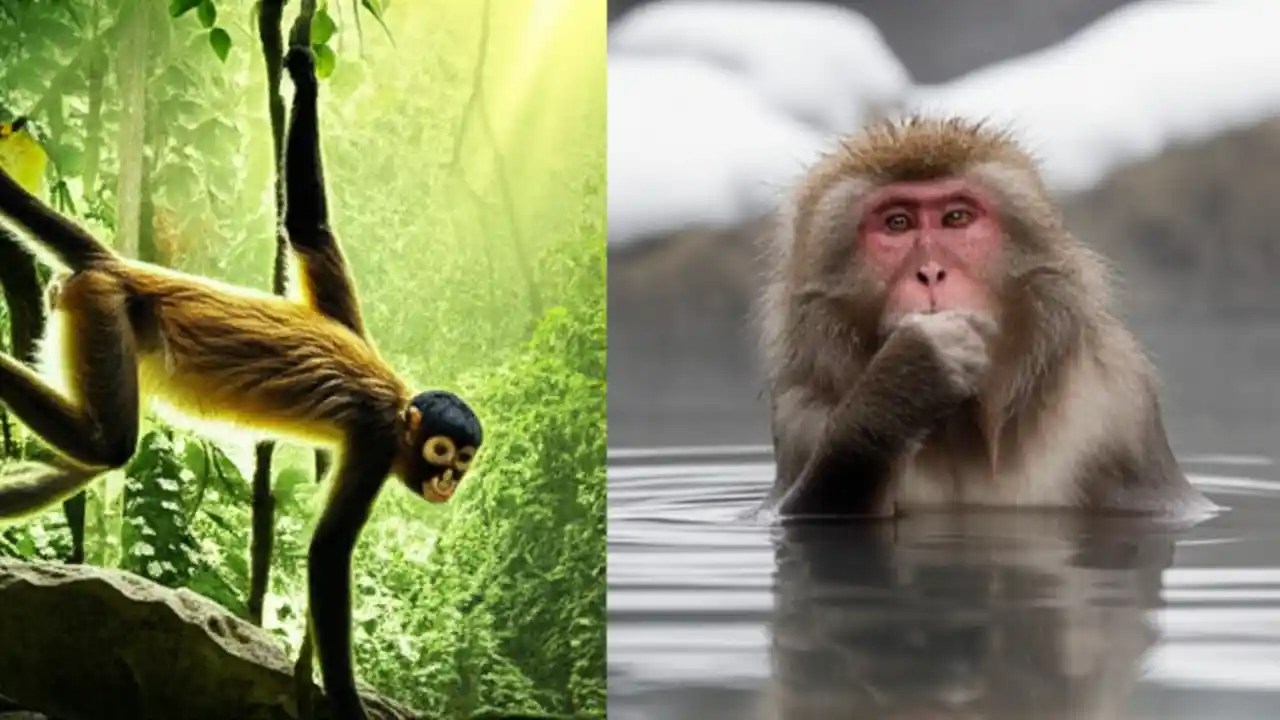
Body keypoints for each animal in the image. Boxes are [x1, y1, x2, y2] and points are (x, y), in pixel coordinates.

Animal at [0, 46, 481, 719]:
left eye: (464, 459)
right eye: (440, 451)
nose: (446, 482)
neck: (398, 399)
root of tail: (117, 266)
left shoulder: (352, 327)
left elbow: (308, 228)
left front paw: (303, 76)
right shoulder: (377, 435)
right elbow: (327, 556)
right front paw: (347, 703)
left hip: (88, 317)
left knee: (84, 462)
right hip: (104, 309)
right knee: (108, 447)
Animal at [758, 115, 1212, 520]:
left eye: (956, 217)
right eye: (897, 223)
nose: (931, 272)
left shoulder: (1118, 405)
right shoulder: (801, 412)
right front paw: (909, 373)